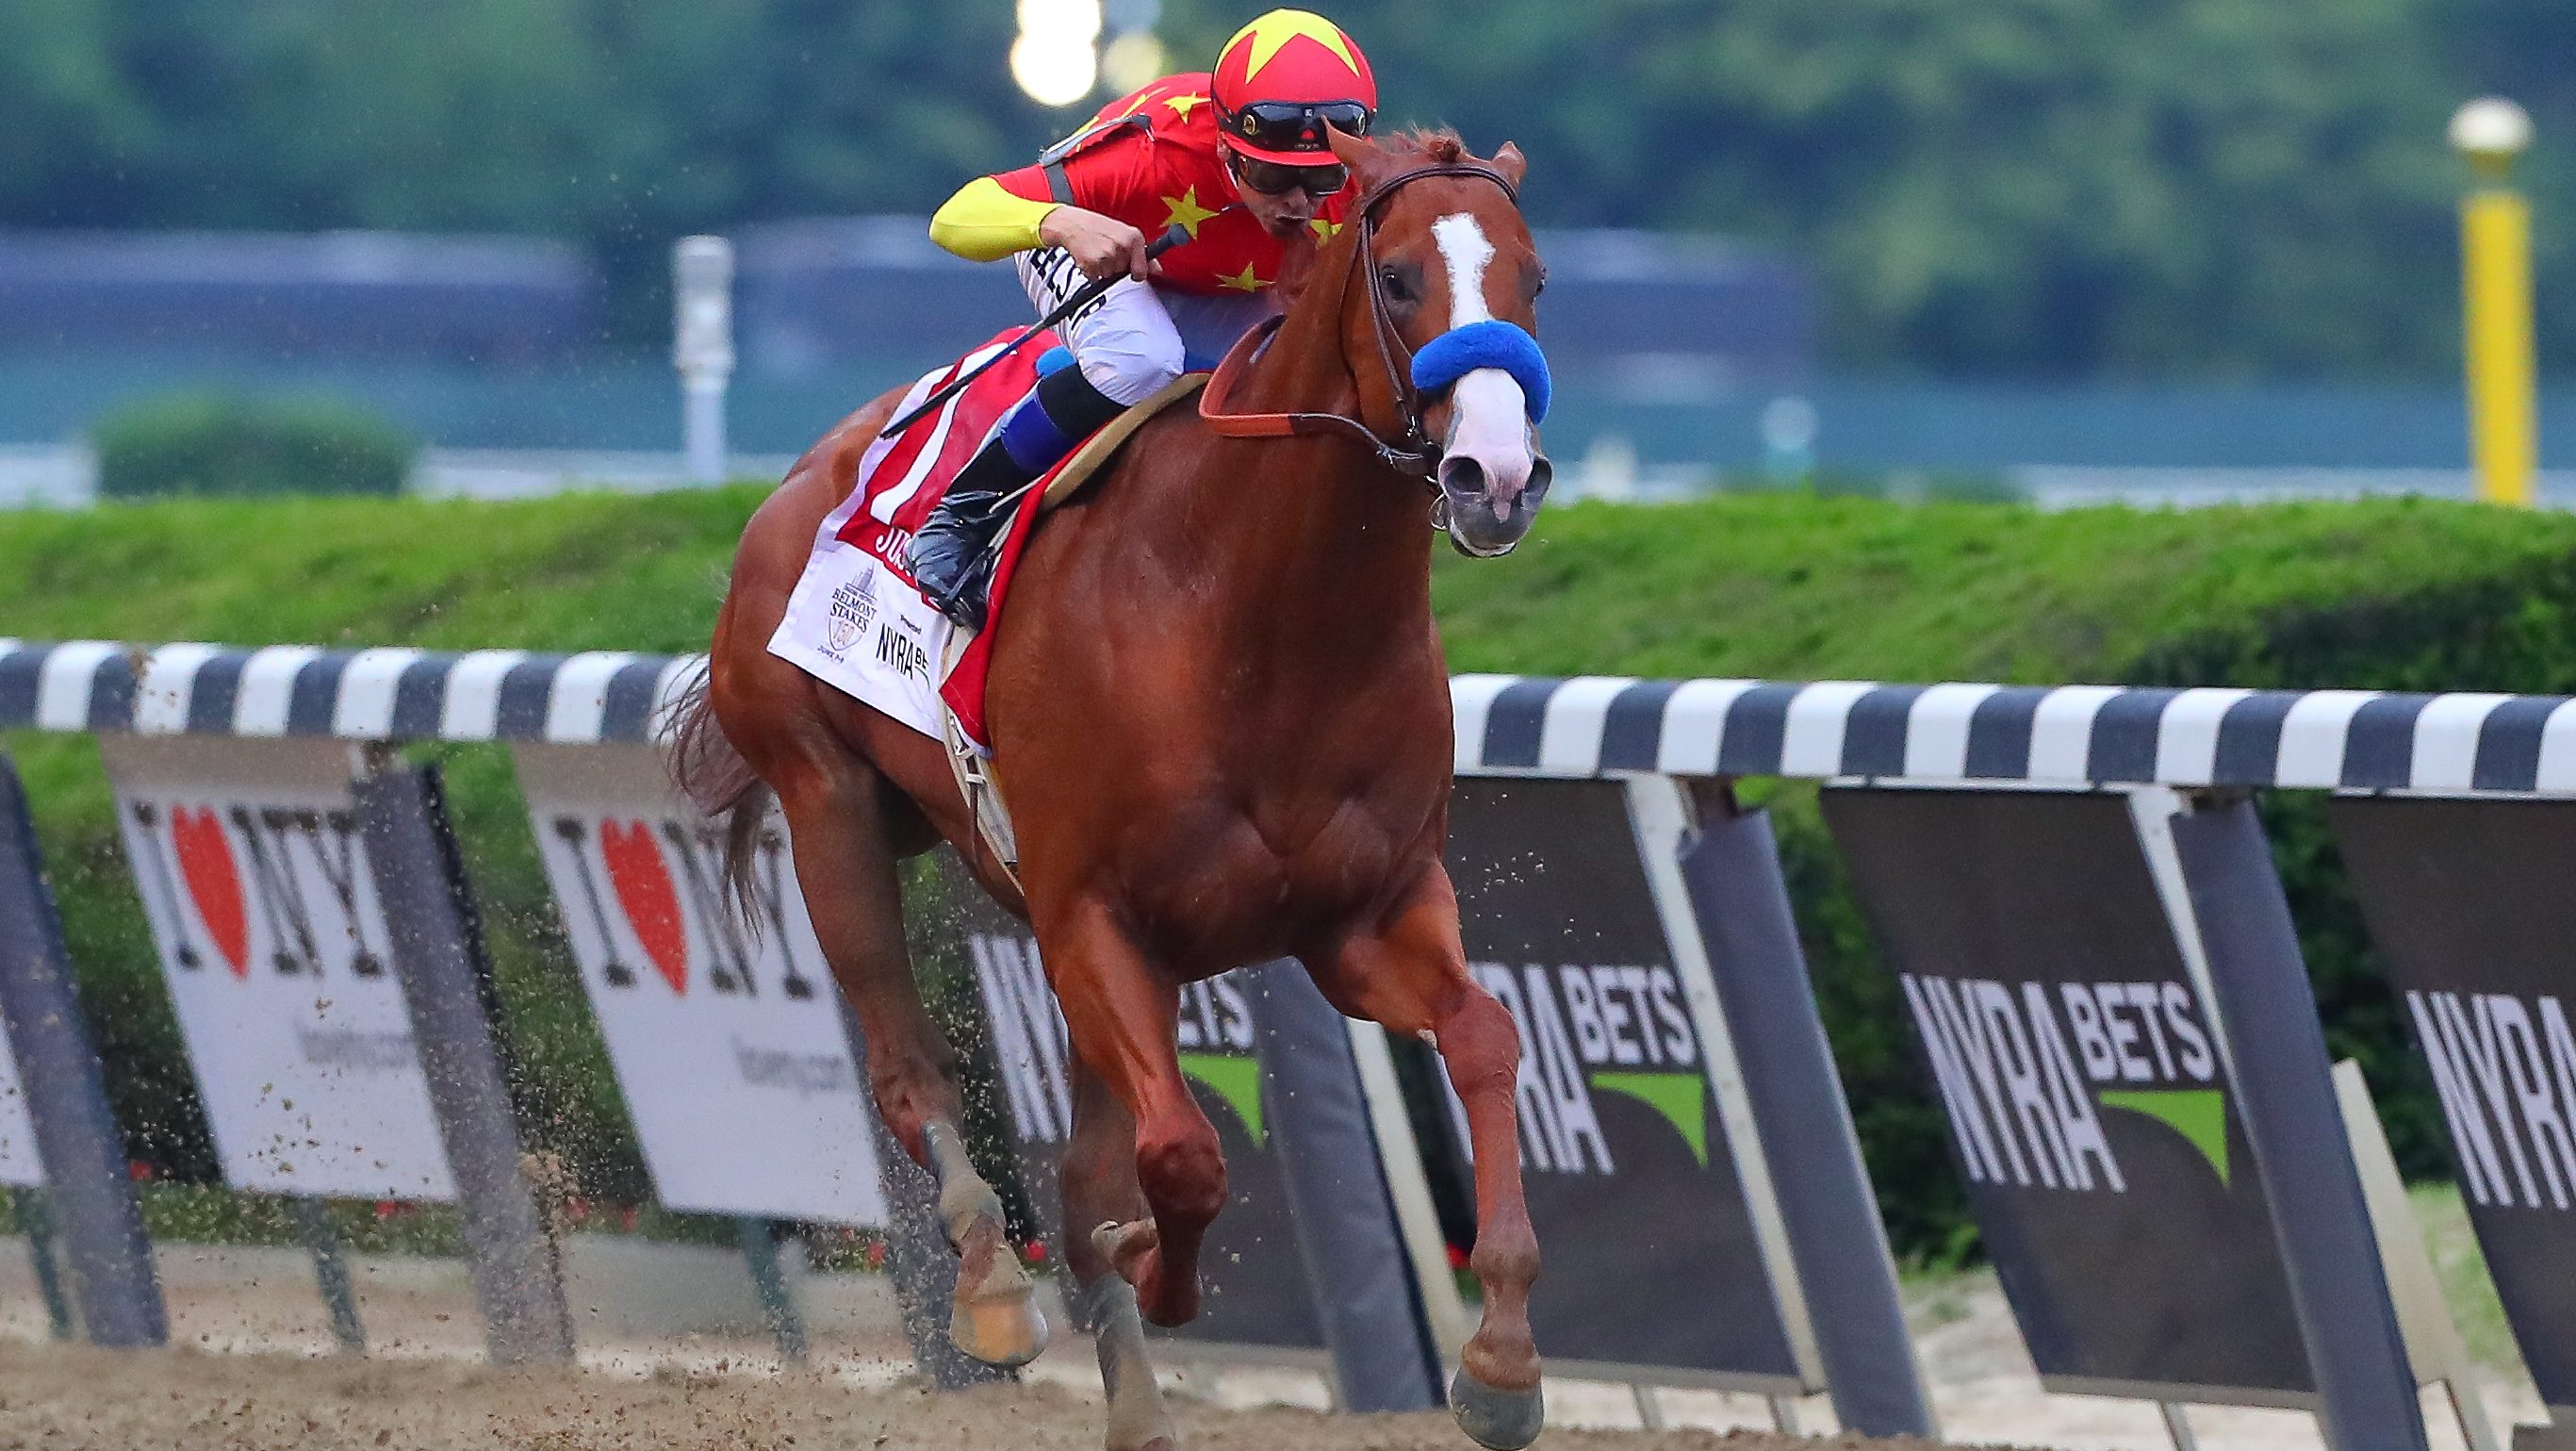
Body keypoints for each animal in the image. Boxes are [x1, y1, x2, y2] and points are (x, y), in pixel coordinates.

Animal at [673, 127, 1557, 1451]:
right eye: (1399, 278)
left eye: (1534, 279)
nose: (1494, 476)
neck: (1258, 616)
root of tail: (801, 477)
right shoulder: (1094, 914)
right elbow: (1182, 1154)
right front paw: (1157, 1270)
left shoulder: (1363, 916)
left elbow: (1488, 1040)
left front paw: (1501, 1359)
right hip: (828, 806)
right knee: (910, 1074)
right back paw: (992, 1285)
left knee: (1086, 1165)